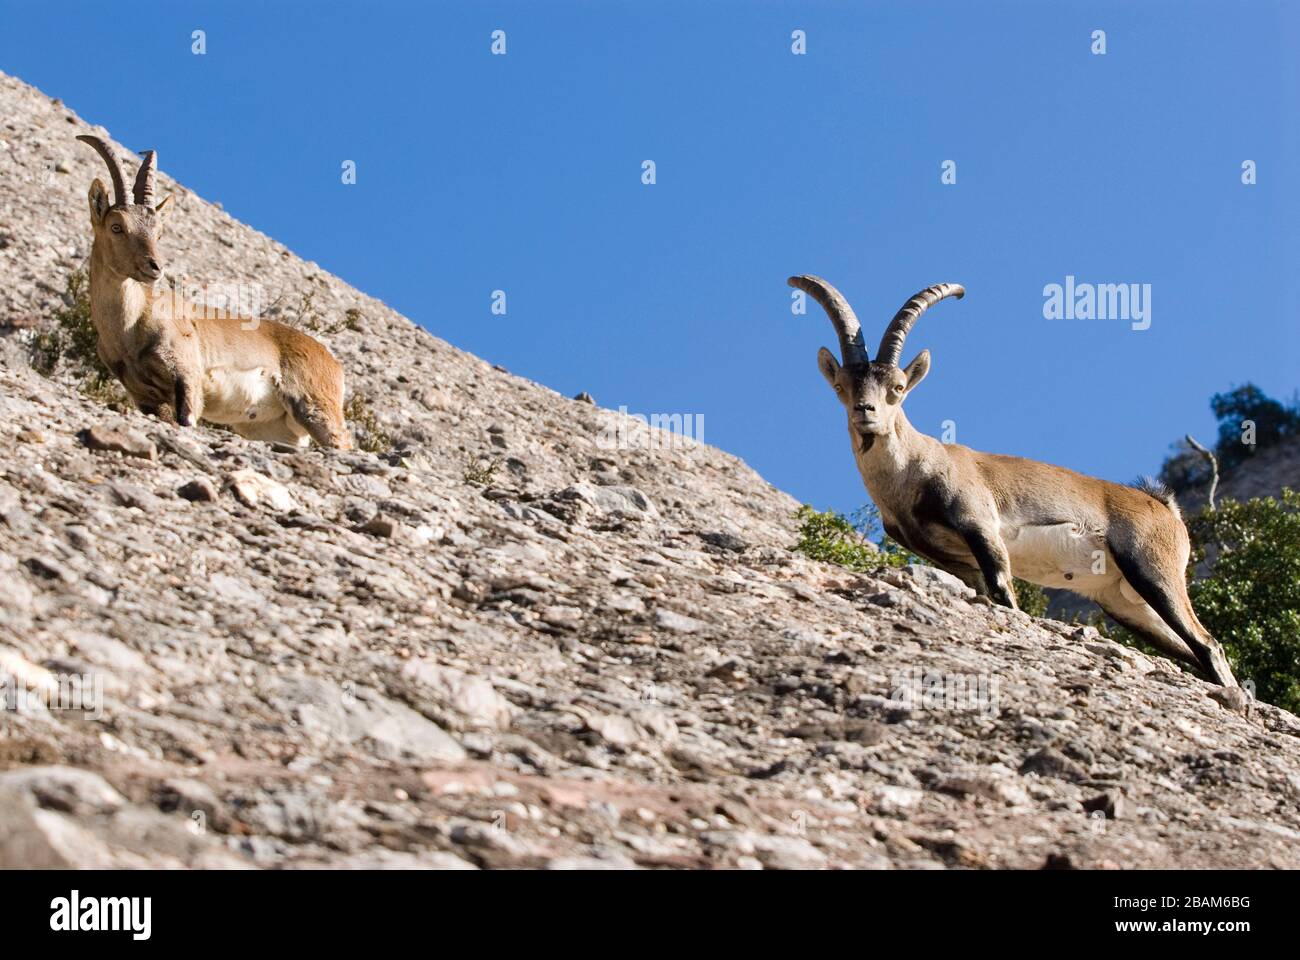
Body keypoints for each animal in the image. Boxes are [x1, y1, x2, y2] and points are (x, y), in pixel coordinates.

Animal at [77, 135, 352, 449]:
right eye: (116, 227)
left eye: (159, 233)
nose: (155, 267)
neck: (128, 328)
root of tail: (332, 362)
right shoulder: (145, 398)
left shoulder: (188, 377)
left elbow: (188, 417)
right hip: (276, 429)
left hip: (316, 407)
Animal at [792, 274, 1237, 688]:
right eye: (842, 386)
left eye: (897, 388)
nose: (865, 411)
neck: (913, 472)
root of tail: (1163, 507)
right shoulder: (952, 560)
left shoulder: (980, 526)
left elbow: (1003, 591)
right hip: (1125, 602)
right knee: (1192, 648)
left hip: (1153, 569)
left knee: (1207, 644)